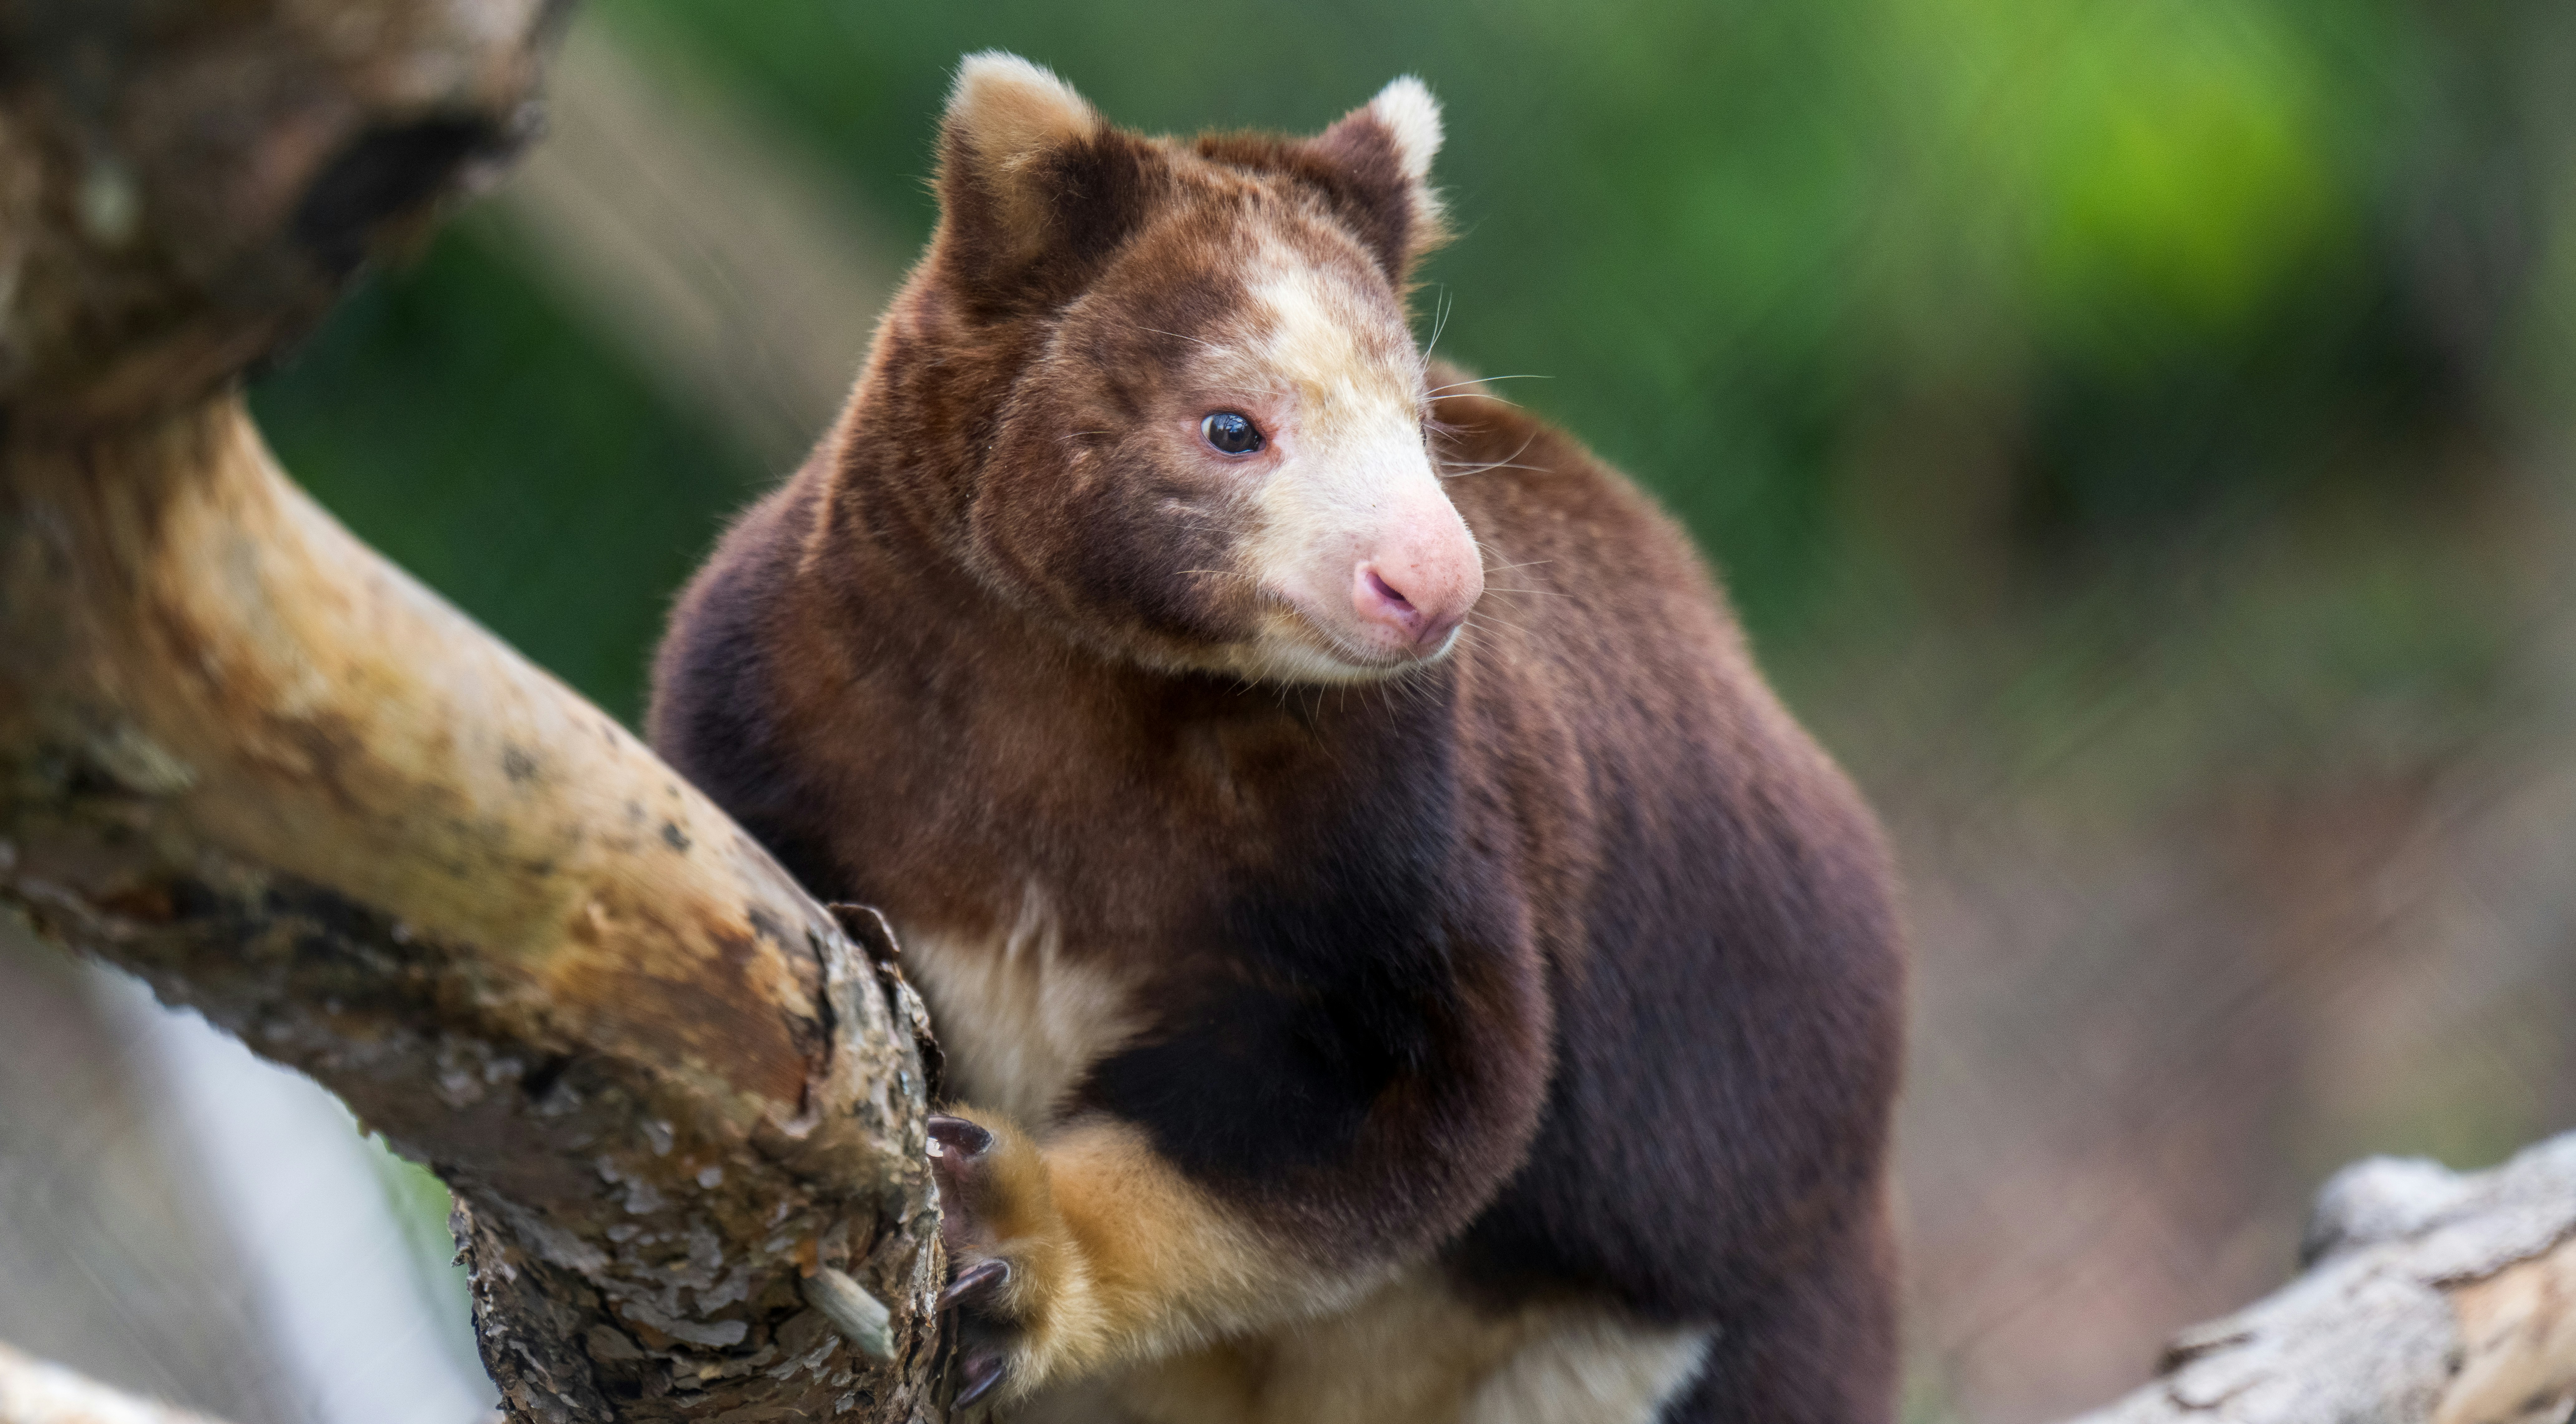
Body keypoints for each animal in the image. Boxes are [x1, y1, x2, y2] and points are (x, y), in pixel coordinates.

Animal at [648, 53, 1905, 1424]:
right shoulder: (797, 681)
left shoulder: (1387, 806)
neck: (1082, 681)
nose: (1437, 583)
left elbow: (1399, 1087)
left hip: (1713, 1281)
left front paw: (1006, 1244)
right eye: (1232, 426)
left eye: (1418, 421)